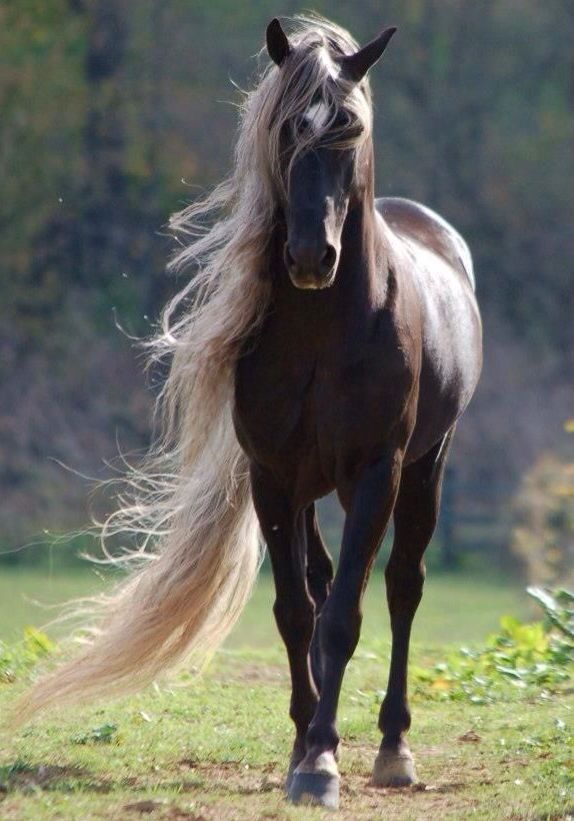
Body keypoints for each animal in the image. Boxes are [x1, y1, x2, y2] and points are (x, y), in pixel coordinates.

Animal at [15, 15, 482, 811]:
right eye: (286, 129)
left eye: (349, 128)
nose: (311, 256)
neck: (326, 330)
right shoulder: (273, 476)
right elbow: (297, 611)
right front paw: (306, 745)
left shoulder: (374, 474)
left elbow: (346, 615)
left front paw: (323, 762)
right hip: (312, 488)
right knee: (324, 581)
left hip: (426, 465)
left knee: (402, 585)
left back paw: (392, 745)